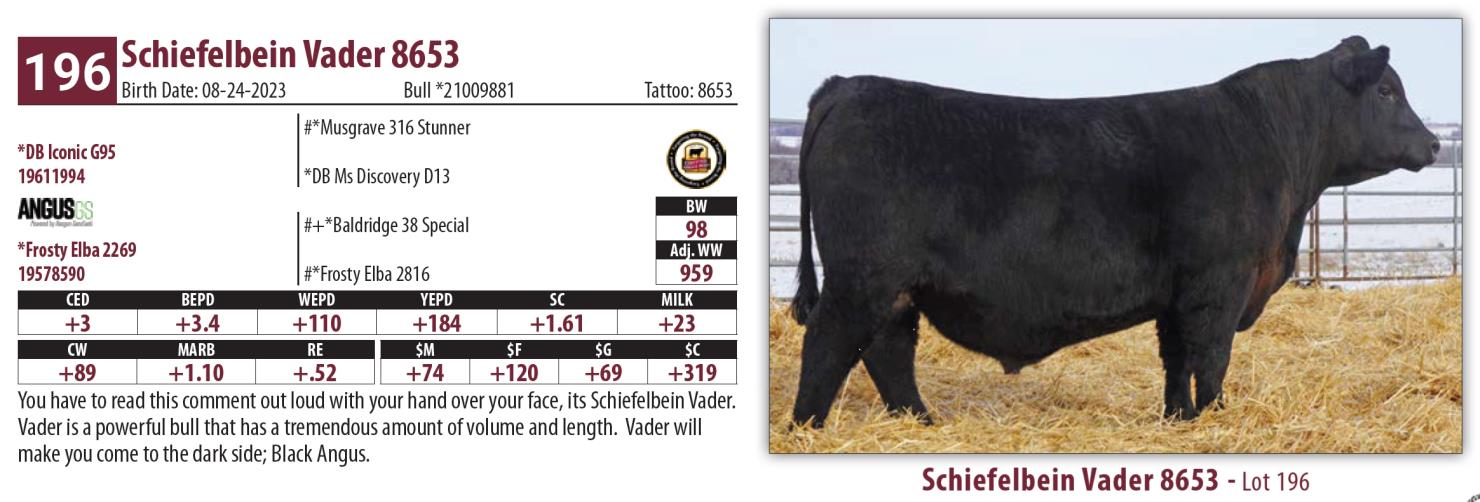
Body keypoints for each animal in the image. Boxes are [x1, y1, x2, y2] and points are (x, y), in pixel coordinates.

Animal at [789, 36, 1439, 428]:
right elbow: (1213, 358)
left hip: (897, 287)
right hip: (862, 275)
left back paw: (921, 422)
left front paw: (1180, 420)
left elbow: (1176, 360)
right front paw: (1216, 418)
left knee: (888, 350)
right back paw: (807, 427)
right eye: (1387, 91)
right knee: (829, 342)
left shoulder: (1178, 294)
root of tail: (847, 85)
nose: (1434, 143)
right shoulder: (1219, 285)